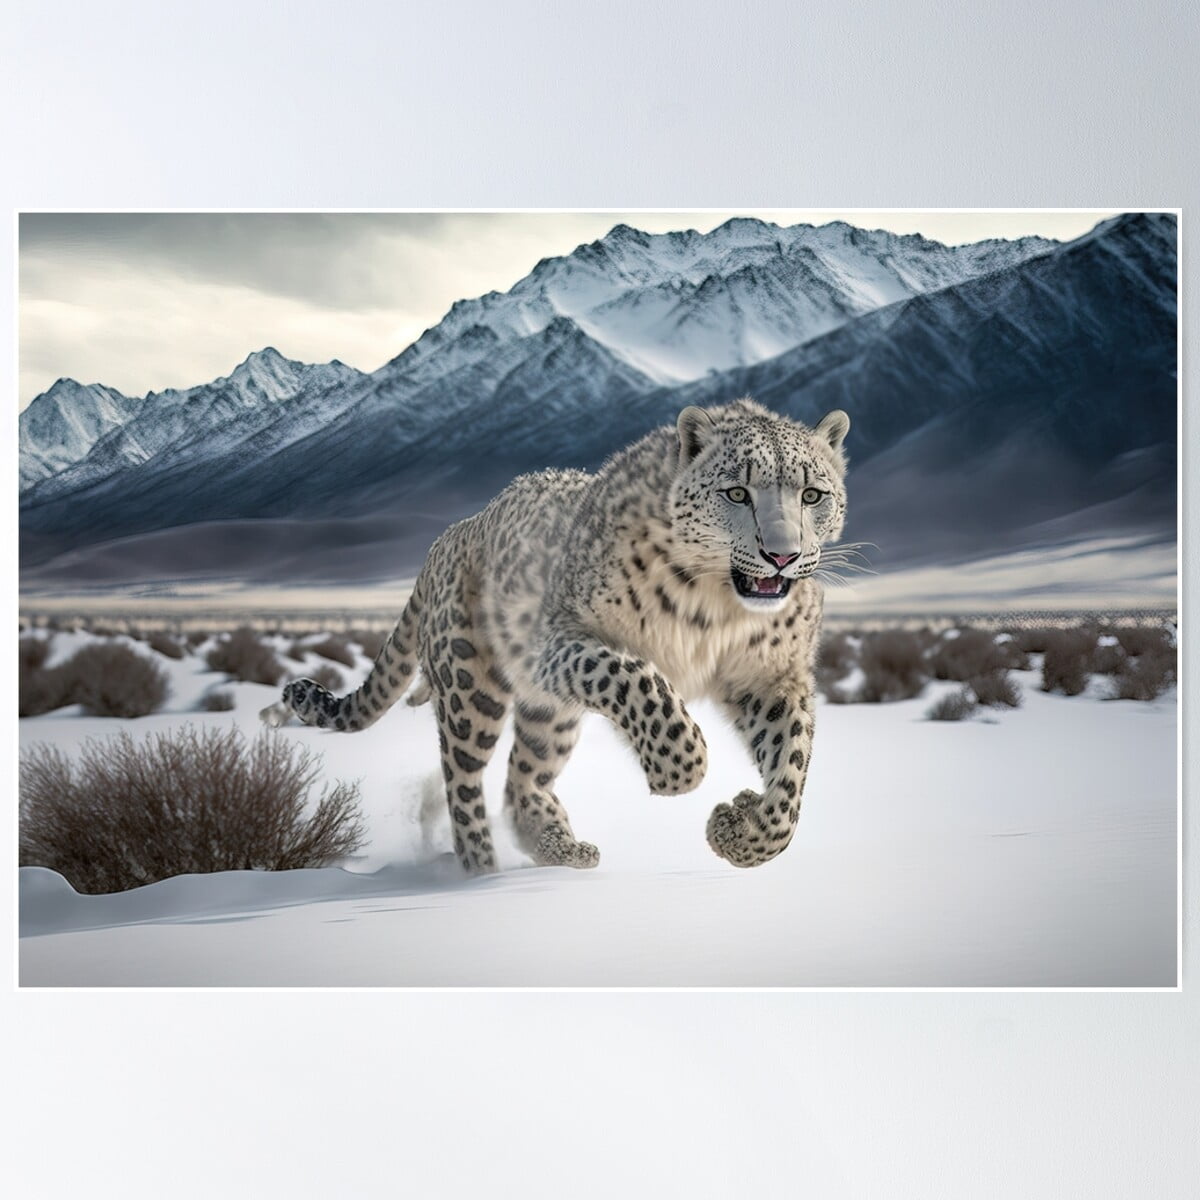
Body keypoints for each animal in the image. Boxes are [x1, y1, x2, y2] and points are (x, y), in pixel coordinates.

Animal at [260, 398, 851, 875]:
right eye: (736, 492)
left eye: (812, 495)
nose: (783, 555)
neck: (719, 605)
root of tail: (450, 534)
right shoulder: (558, 642)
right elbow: (638, 679)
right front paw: (677, 769)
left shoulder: (773, 676)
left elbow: (791, 773)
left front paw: (739, 826)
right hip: (472, 690)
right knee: (464, 783)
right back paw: (480, 872)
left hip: (552, 716)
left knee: (522, 777)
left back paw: (558, 845)